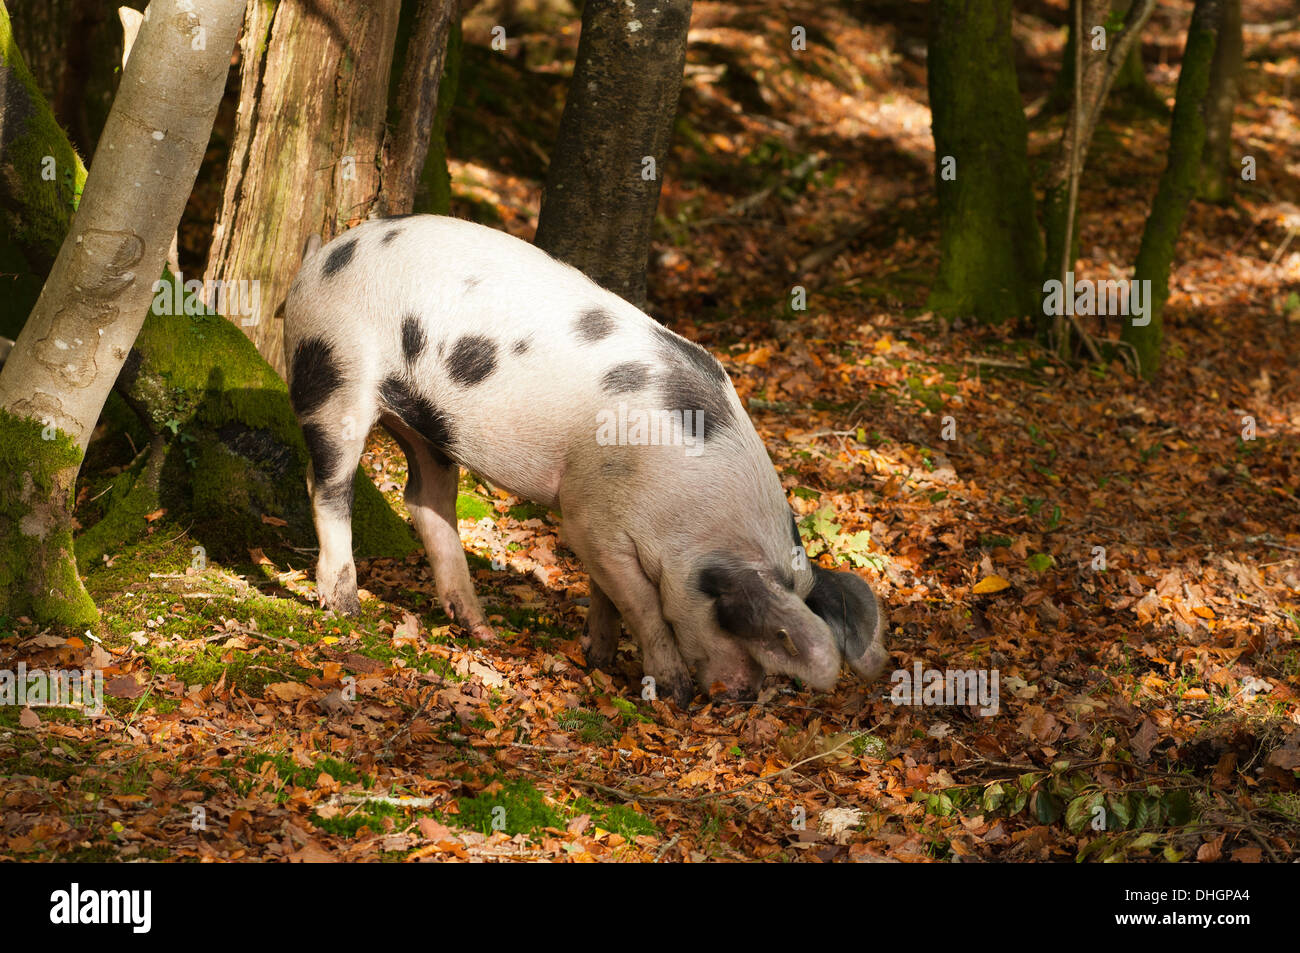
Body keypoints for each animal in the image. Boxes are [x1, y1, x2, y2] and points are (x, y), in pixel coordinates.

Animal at [283, 215, 887, 706]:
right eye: (730, 616)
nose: (739, 695)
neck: (694, 510)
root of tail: (320, 256)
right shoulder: (589, 517)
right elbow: (644, 605)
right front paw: (671, 692)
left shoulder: (605, 523)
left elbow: (610, 594)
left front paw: (598, 659)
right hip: (333, 370)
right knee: (328, 482)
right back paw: (345, 606)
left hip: (427, 424)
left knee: (425, 499)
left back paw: (481, 629)